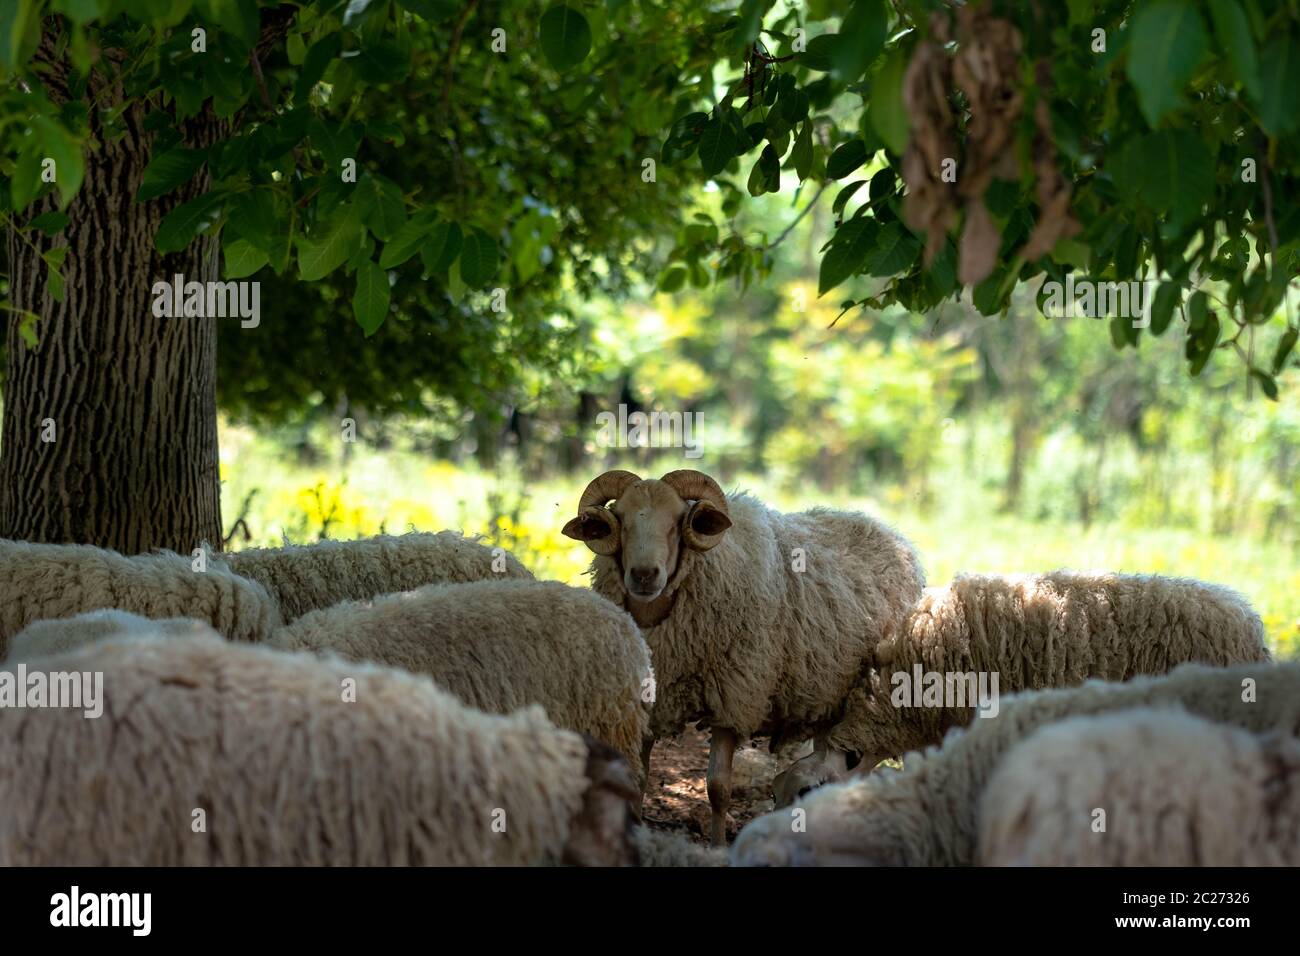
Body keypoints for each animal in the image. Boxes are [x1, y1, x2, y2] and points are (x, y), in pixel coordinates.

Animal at [562, 469, 925, 844]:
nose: (644, 575)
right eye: (620, 517)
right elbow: (639, 779)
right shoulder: (653, 701)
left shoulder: (734, 697)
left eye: (677, 521)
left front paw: (718, 845)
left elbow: (718, 787)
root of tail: (883, 529)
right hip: (831, 697)